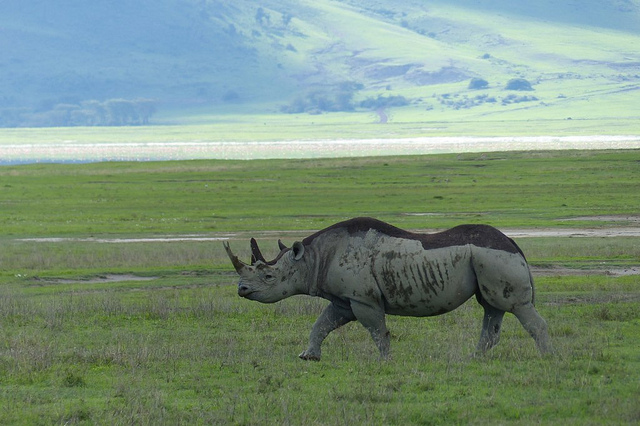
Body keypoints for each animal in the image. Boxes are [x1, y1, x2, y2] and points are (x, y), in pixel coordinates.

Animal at [224, 217, 551, 360]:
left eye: (269, 277)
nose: (242, 289)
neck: (311, 258)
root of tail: (515, 245)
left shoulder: (363, 299)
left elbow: (376, 329)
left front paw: (385, 360)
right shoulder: (345, 299)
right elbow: (322, 323)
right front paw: (308, 357)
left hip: (496, 258)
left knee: (515, 306)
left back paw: (549, 358)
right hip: (488, 260)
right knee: (492, 308)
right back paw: (474, 358)